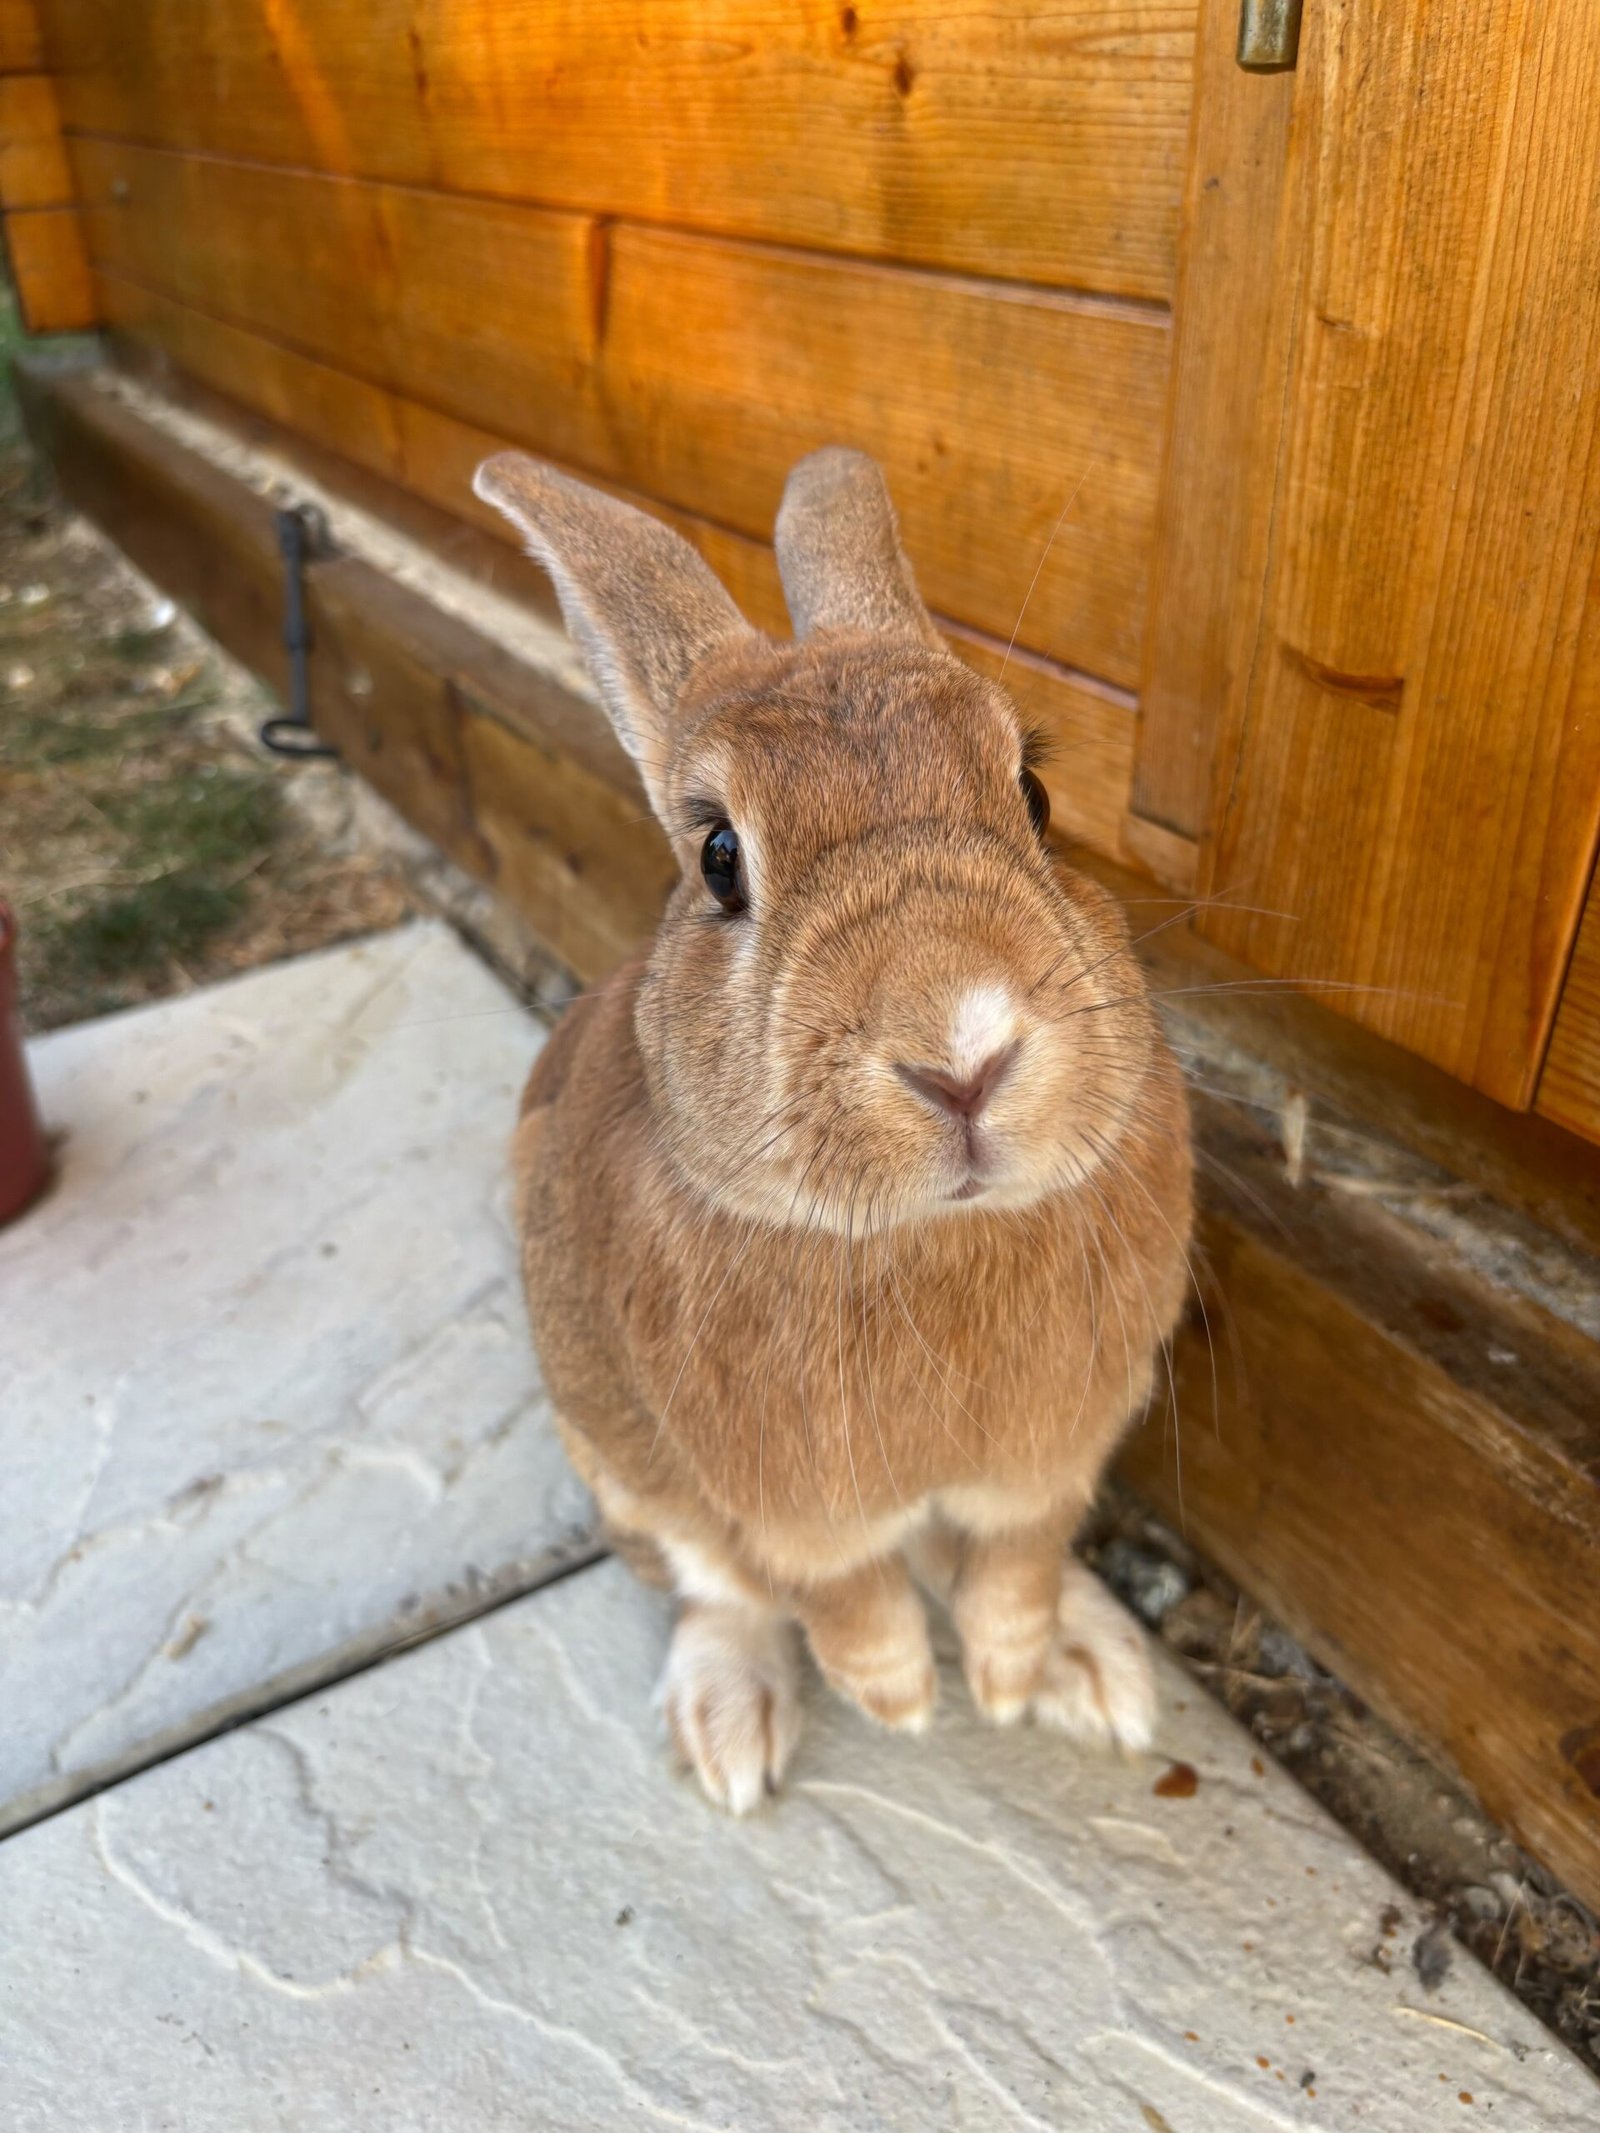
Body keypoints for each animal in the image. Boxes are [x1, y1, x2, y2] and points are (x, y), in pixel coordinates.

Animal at [474, 444, 1193, 1813]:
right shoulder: (790, 1505)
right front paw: (903, 1704)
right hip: (620, 1463)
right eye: (718, 858)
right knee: (717, 1593)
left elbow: (1013, 1569)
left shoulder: (1043, 1472)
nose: (963, 1056)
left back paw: (1097, 1670)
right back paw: (733, 1732)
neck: (924, 1238)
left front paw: (1010, 1684)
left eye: (1033, 790)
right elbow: (839, 1596)